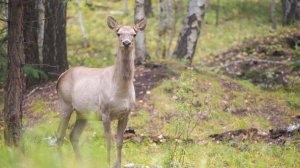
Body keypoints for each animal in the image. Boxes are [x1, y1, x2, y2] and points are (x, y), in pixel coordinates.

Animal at [53, 16, 146, 168]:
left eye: (134, 34)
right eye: (118, 33)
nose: (126, 43)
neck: (121, 91)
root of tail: (60, 77)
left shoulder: (127, 113)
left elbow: (120, 141)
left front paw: (118, 164)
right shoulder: (105, 111)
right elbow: (108, 141)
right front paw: (107, 163)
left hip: (83, 113)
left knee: (73, 135)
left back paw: (81, 161)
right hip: (65, 103)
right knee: (59, 135)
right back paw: (60, 162)